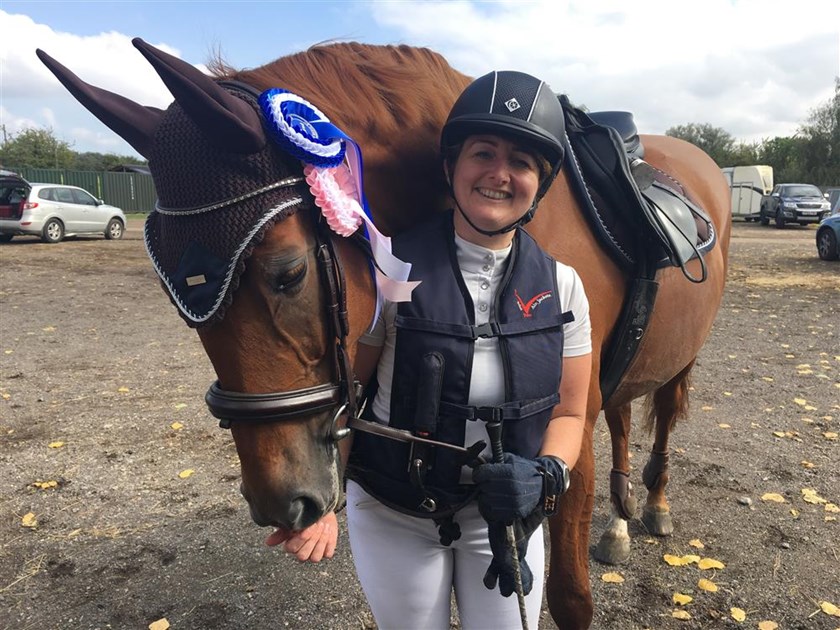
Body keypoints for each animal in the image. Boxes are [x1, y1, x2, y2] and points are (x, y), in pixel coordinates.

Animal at [38, 40, 731, 629]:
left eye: (288, 273)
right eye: (177, 301)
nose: (282, 504)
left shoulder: (566, 432)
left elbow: (568, 597)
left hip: (680, 361)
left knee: (662, 417)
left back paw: (653, 506)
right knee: (625, 413)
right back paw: (620, 523)